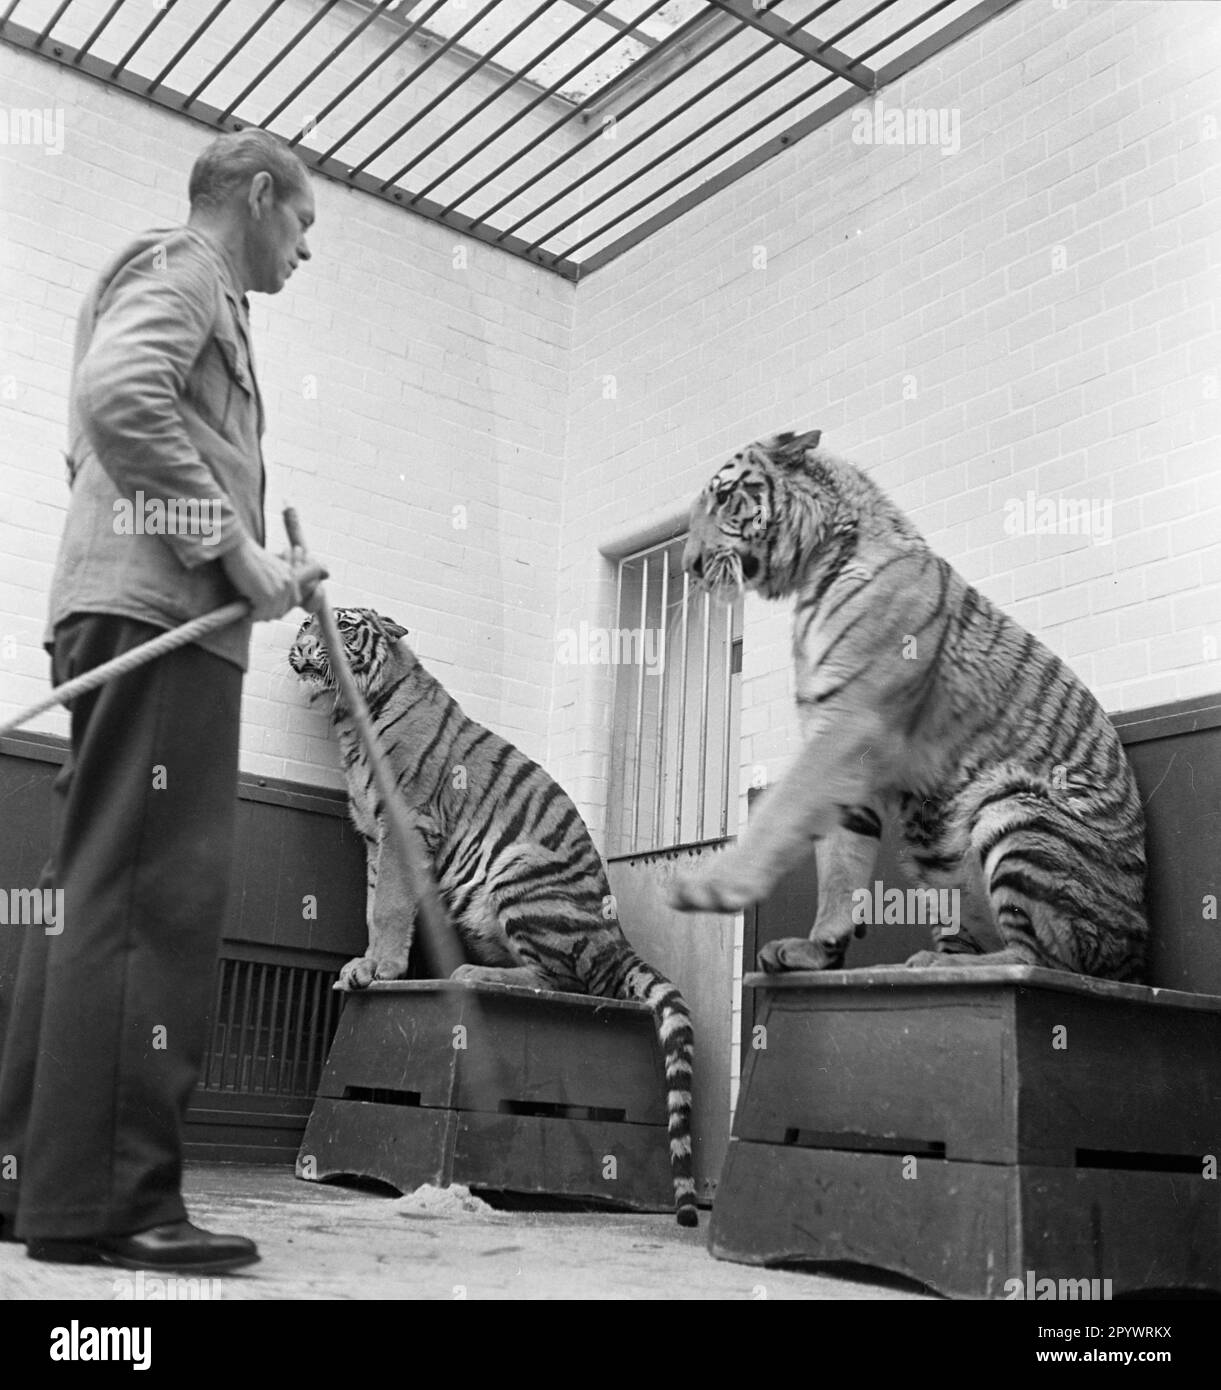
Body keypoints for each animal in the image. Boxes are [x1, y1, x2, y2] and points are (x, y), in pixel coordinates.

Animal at [289, 608, 699, 1226]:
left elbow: (389, 906)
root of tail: (617, 938)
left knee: (565, 980)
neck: (350, 718)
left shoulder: (406, 825)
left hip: (519, 876)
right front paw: (368, 965)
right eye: (306, 624)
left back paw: (472, 975)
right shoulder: (373, 837)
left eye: (342, 622)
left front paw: (381, 971)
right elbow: (375, 906)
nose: (304, 642)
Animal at [668, 429, 1148, 983]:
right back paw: (937, 957)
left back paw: (949, 964)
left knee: (1038, 960)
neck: (815, 570)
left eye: (725, 497)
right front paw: (819, 949)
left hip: (1013, 808)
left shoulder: (850, 723)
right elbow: (840, 861)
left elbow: (780, 811)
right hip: (935, 854)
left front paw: (713, 885)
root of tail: (1136, 953)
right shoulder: (843, 748)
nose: (689, 566)